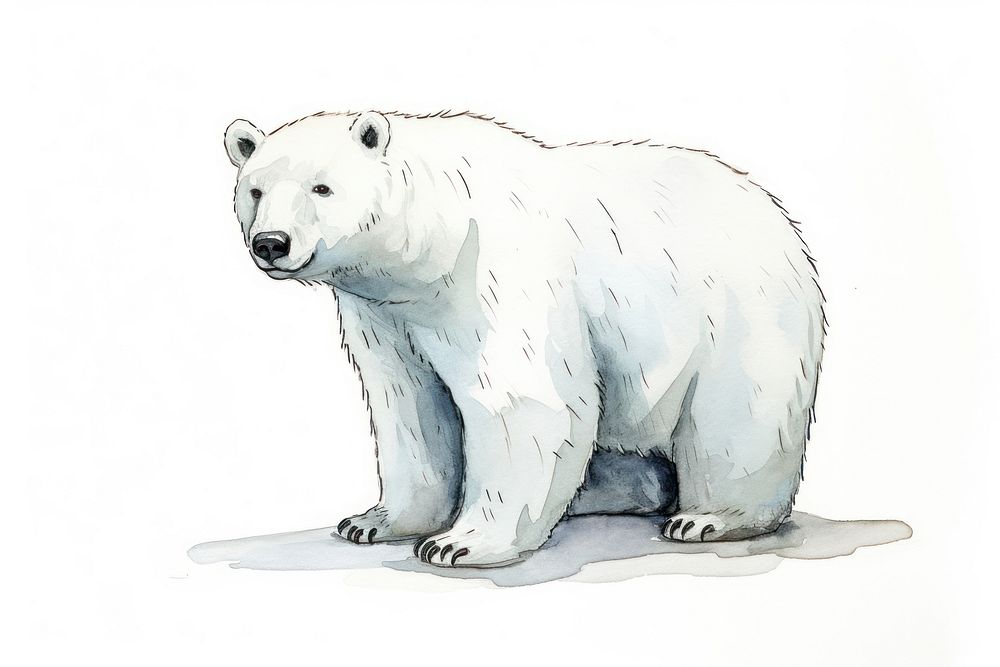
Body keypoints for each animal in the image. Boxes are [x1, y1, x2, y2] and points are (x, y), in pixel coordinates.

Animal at [223, 110, 825, 567]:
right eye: (255, 190)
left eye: (322, 186)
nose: (271, 242)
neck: (430, 248)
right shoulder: (384, 314)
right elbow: (409, 406)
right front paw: (373, 520)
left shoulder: (495, 275)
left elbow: (520, 401)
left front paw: (457, 543)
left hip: (739, 314)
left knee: (736, 417)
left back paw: (707, 517)